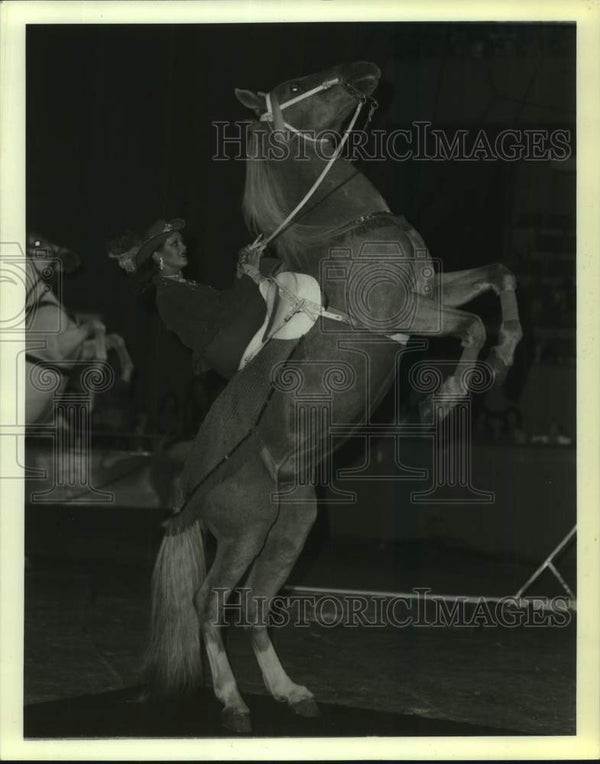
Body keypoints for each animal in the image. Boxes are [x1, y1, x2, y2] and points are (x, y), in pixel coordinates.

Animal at [25, 232, 133, 426]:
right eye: (37, 242)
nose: (74, 259)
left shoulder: (77, 352)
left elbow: (114, 338)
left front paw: (126, 375)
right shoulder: (58, 350)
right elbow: (97, 326)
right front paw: (92, 391)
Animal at [144, 61, 523, 733]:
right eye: (295, 88)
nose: (364, 72)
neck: (345, 229)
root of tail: (191, 490)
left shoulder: (433, 290)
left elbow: (498, 278)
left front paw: (507, 354)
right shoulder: (404, 311)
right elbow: (471, 325)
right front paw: (447, 399)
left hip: (290, 523)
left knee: (254, 605)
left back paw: (290, 692)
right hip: (245, 528)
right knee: (209, 601)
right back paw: (233, 701)